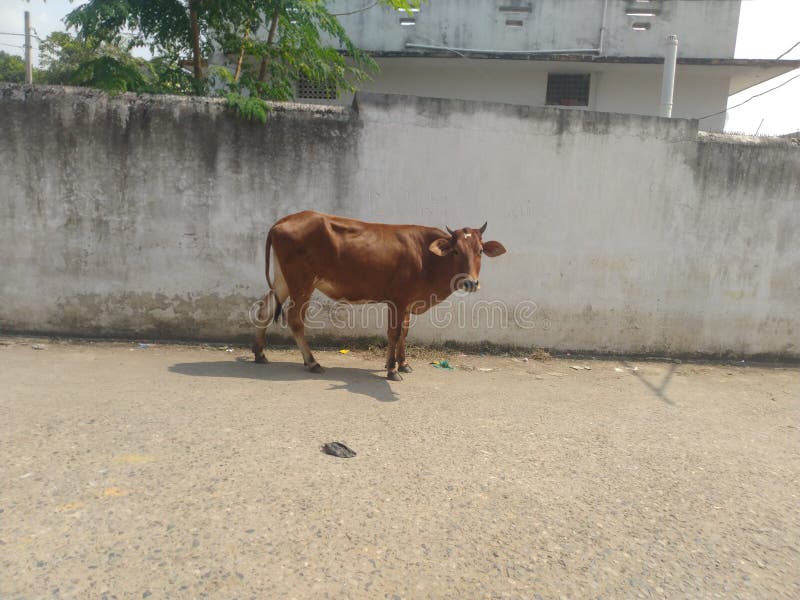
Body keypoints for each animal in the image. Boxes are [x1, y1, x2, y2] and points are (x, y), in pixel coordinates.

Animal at [252, 210, 507, 380]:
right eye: (455, 251)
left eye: (480, 250)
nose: (470, 282)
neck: (427, 258)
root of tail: (282, 222)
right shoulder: (397, 300)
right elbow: (394, 333)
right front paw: (392, 369)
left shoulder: (409, 302)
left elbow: (405, 332)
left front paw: (403, 363)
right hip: (302, 283)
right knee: (295, 319)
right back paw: (312, 362)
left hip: (283, 280)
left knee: (264, 309)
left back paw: (260, 353)